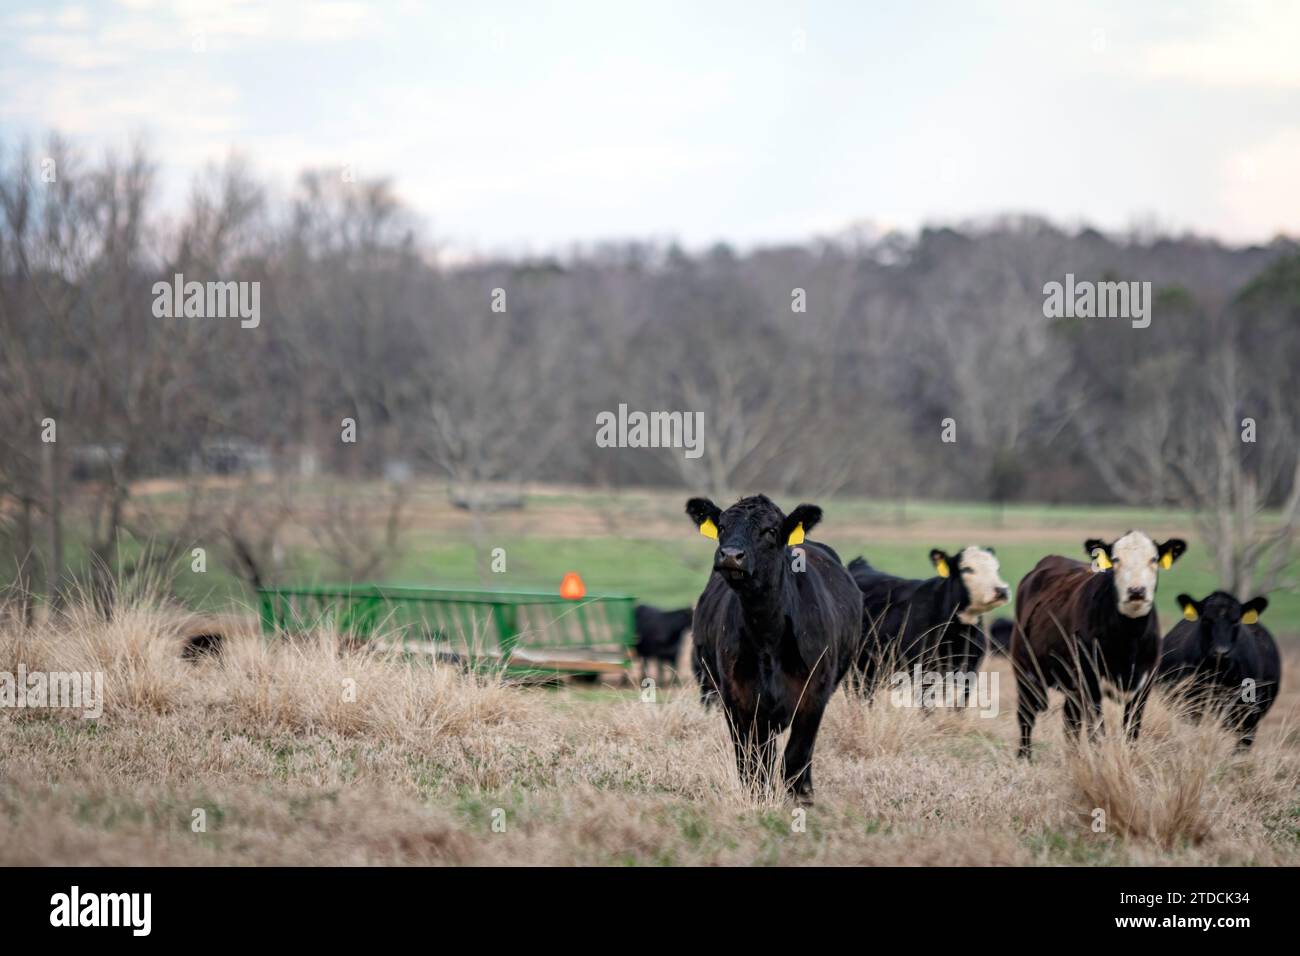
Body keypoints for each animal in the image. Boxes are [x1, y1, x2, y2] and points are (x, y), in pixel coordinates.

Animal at [686, 494, 861, 803]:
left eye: (770, 531)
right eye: (722, 526)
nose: (731, 555)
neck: (766, 635)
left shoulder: (814, 696)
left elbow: (796, 755)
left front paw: (801, 798)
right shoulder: (737, 698)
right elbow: (751, 759)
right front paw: (757, 798)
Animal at [1012, 532, 1186, 759]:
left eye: (1154, 559)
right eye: (1116, 560)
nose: (1136, 591)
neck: (1129, 639)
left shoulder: (1144, 684)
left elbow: (1131, 730)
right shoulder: (1091, 681)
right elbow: (1098, 731)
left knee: (1070, 721)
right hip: (1025, 670)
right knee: (1026, 715)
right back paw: (1025, 757)